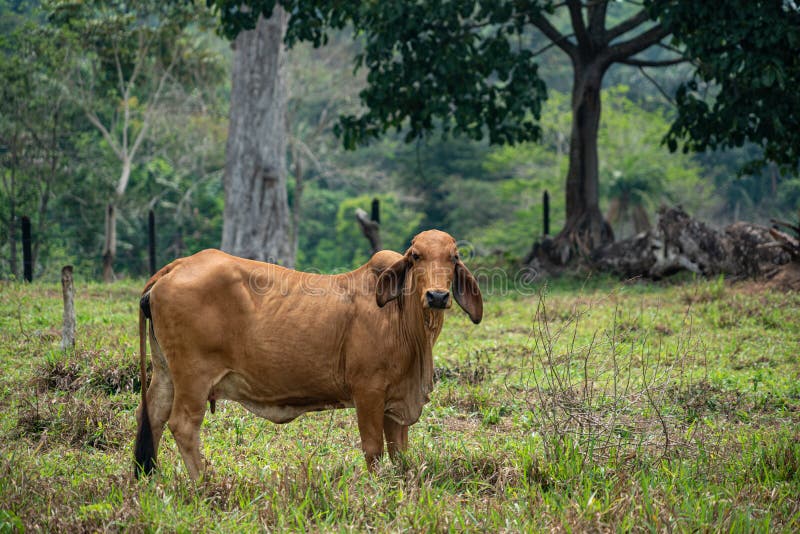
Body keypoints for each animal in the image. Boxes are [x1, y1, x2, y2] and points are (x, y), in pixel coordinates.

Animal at [134, 229, 483, 480]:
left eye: (454, 257)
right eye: (416, 256)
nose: (437, 296)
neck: (400, 319)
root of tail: (176, 267)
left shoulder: (396, 402)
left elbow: (400, 452)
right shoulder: (368, 391)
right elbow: (373, 449)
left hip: (166, 371)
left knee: (152, 415)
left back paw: (150, 477)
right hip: (194, 375)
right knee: (183, 424)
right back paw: (206, 482)